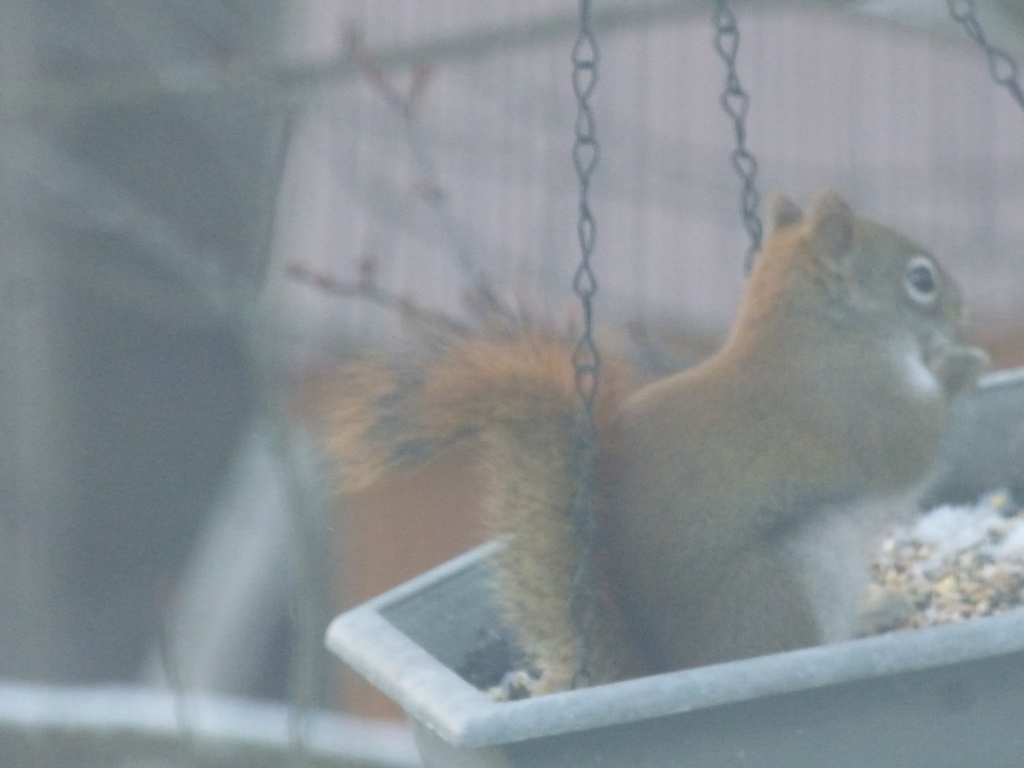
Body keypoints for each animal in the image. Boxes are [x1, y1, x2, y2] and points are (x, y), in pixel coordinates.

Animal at [314, 191, 989, 694]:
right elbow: (911, 450)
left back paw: (879, 608)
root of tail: (665, 669)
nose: (962, 310)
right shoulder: (853, 405)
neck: (822, 330)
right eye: (921, 280)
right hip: (781, 586)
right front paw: (961, 365)